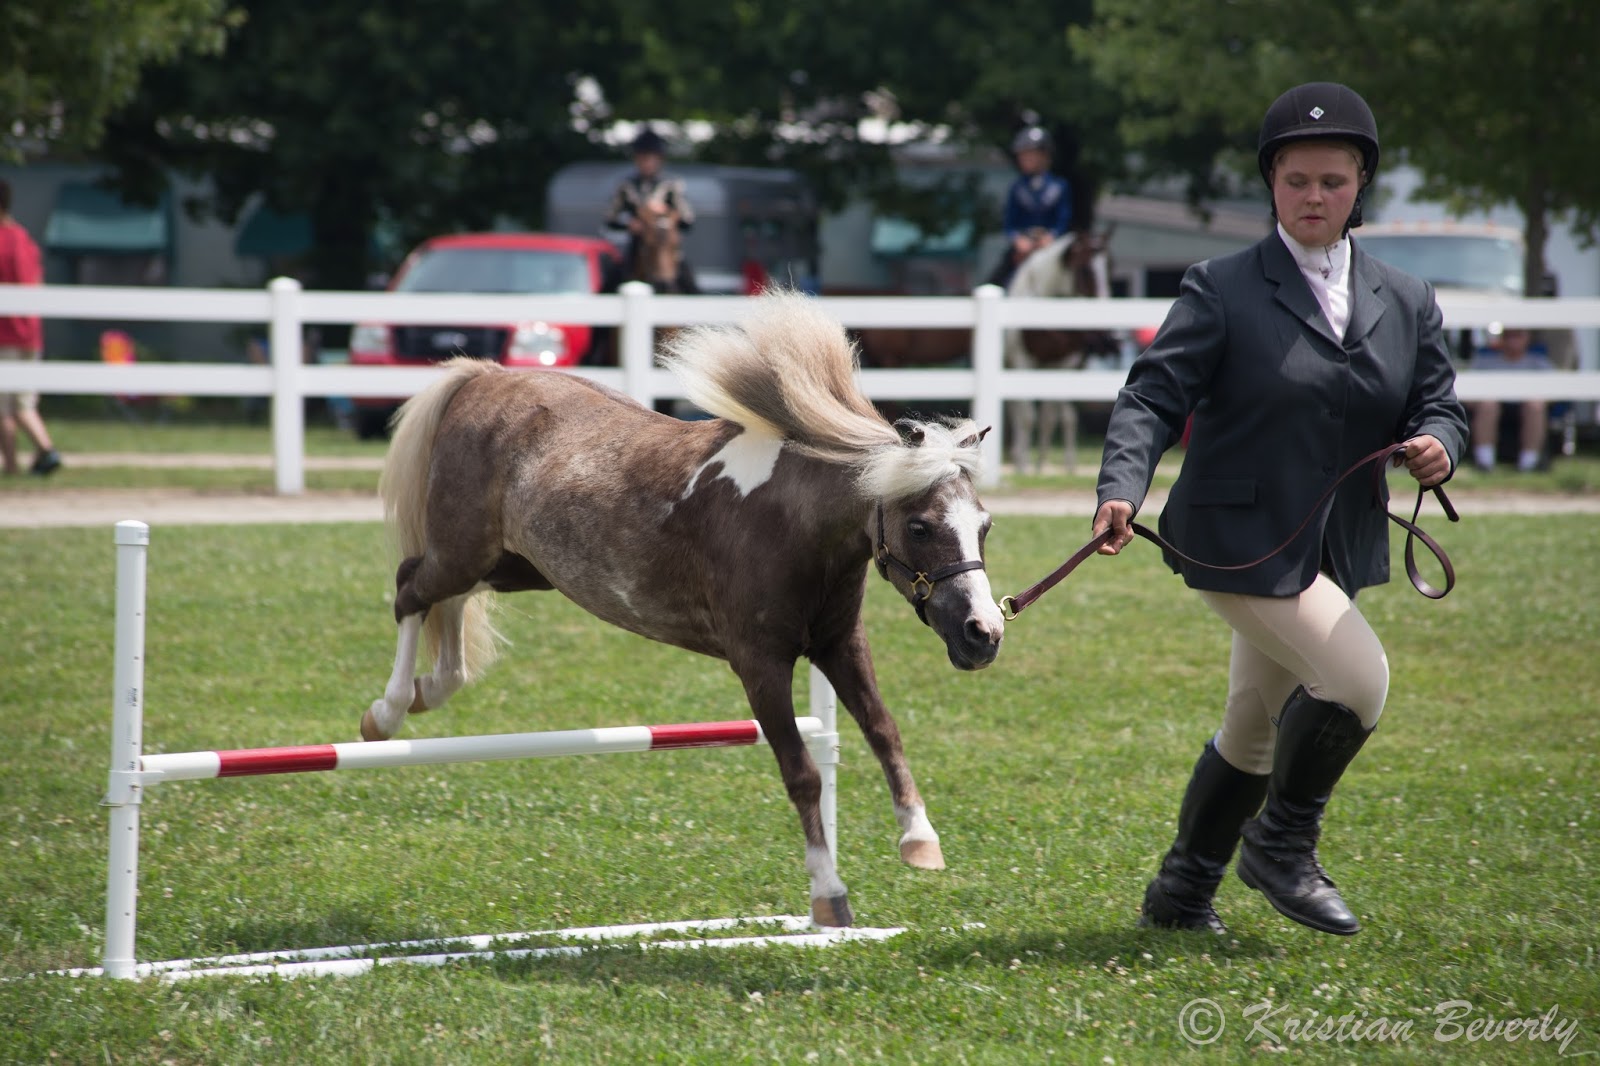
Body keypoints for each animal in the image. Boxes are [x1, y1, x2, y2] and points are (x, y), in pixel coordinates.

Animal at [361, 292, 1006, 928]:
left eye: (984, 524)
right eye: (919, 526)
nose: (983, 634)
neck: (784, 518)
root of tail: (485, 378)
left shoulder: (839, 643)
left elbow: (883, 731)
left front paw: (920, 841)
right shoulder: (759, 664)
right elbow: (802, 773)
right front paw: (830, 894)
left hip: (515, 567)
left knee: (446, 608)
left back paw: (428, 689)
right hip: (462, 552)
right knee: (410, 588)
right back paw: (386, 713)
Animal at [1003, 229, 1120, 473]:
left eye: (1111, 266)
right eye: (1085, 269)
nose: (1111, 337)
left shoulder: (1064, 363)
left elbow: (1055, 417)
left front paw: (1046, 465)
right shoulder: (1023, 361)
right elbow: (1027, 416)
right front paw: (1024, 466)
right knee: (1016, 411)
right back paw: (1018, 456)